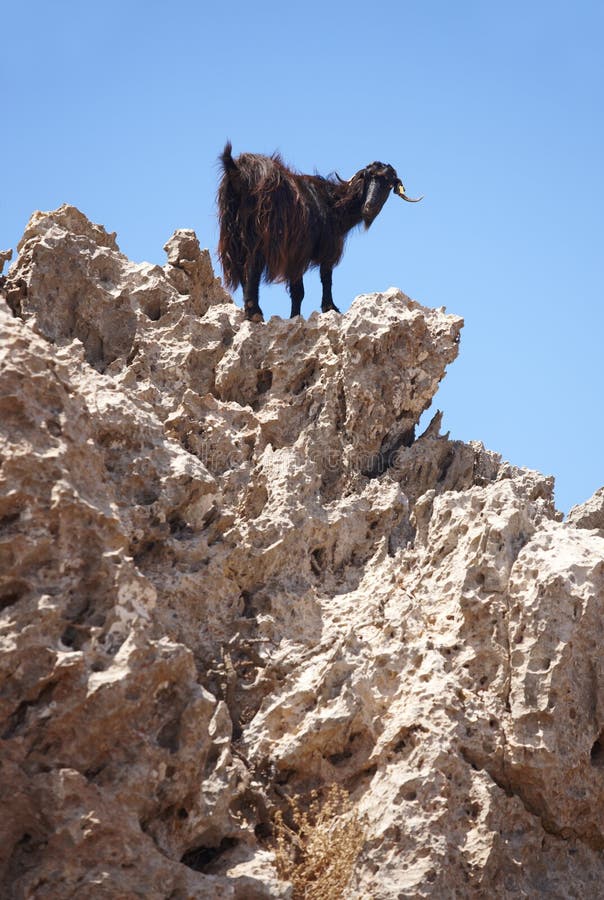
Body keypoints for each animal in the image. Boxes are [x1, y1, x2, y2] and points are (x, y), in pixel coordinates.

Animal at [217, 142, 421, 321]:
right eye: (367, 178)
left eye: (389, 184)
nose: (369, 208)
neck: (332, 203)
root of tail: (237, 172)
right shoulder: (315, 250)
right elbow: (322, 280)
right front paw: (330, 308)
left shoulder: (296, 255)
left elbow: (297, 291)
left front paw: (295, 316)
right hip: (258, 234)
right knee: (253, 267)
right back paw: (255, 313)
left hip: (232, 235)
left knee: (242, 270)